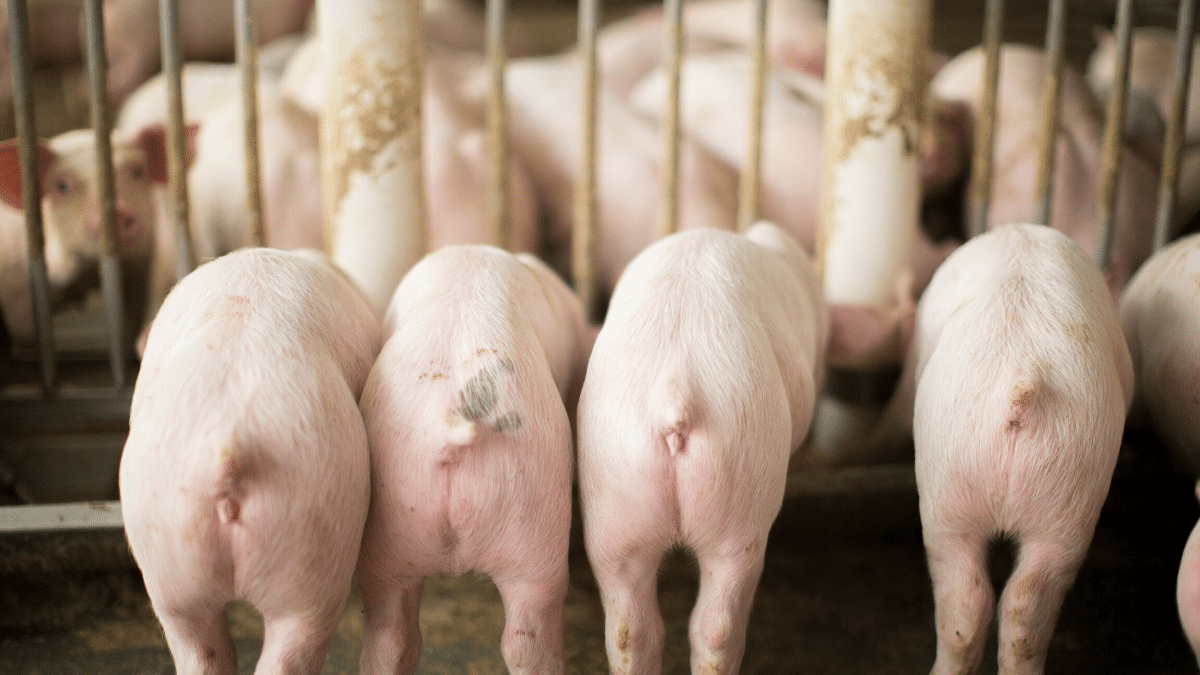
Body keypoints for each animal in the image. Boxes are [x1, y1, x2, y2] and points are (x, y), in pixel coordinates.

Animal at [0, 124, 185, 349]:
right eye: (62, 186)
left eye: (137, 172)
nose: (117, 211)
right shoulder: (16, 287)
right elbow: (28, 330)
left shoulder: (138, 271)